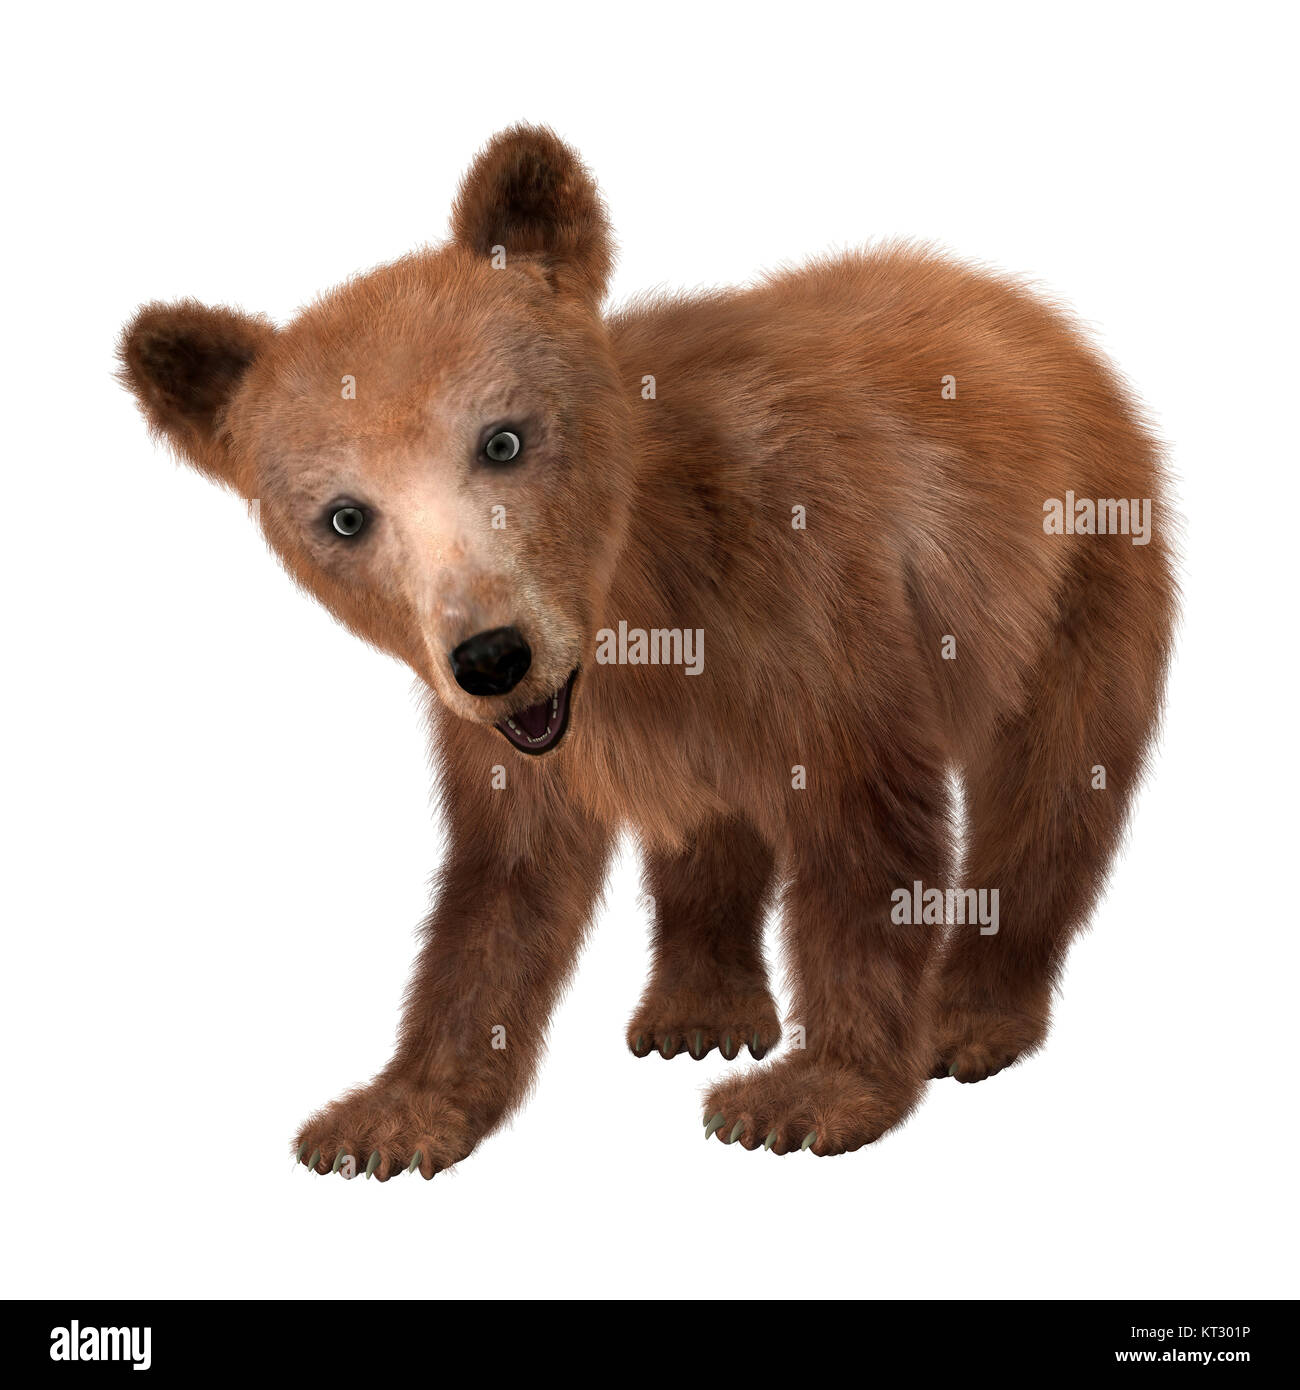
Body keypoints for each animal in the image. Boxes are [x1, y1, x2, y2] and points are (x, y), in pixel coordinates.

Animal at [119, 125, 1176, 1178]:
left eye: (502, 439)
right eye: (345, 515)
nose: (491, 656)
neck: (635, 603)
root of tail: (1023, 305)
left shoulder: (814, 609)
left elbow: (865, 833)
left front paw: (811, 1094)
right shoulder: (525, 740)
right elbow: (502, 886)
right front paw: (394, 1112)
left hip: (1082, 573)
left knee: (1054, 783)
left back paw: (969, 1016)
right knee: (708, 824)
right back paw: (698, 1011)